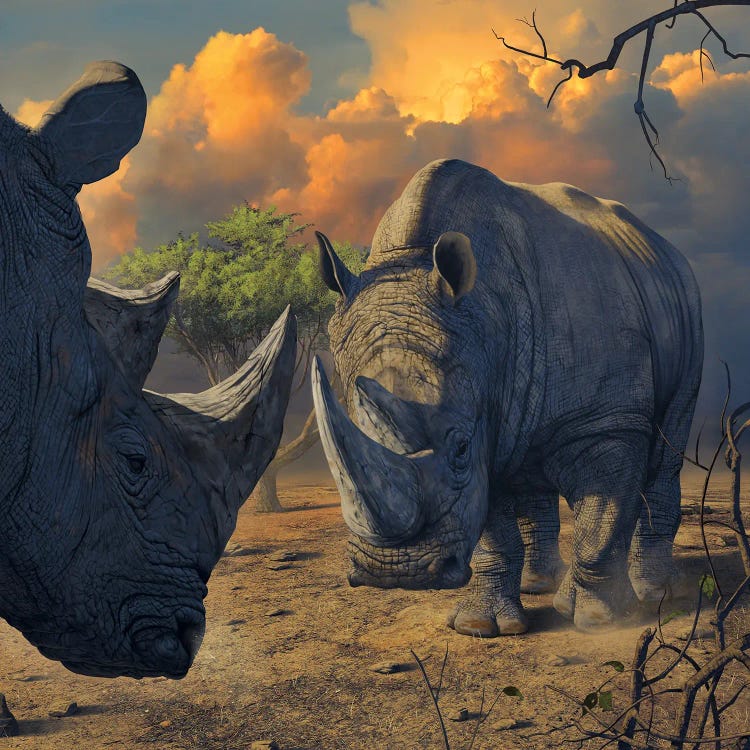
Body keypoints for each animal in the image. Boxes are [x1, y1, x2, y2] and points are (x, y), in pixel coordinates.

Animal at [312, 158, 703, 635]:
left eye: (461, 448)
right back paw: (539, 586)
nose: (394, 571)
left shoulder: (604, 420)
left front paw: (603, 621)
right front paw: (479, 627)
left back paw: (655, 594)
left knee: (667, 448)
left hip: (685, 302)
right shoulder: (487, 407)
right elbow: (491, 527)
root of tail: (661, 246)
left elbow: (601, 519)